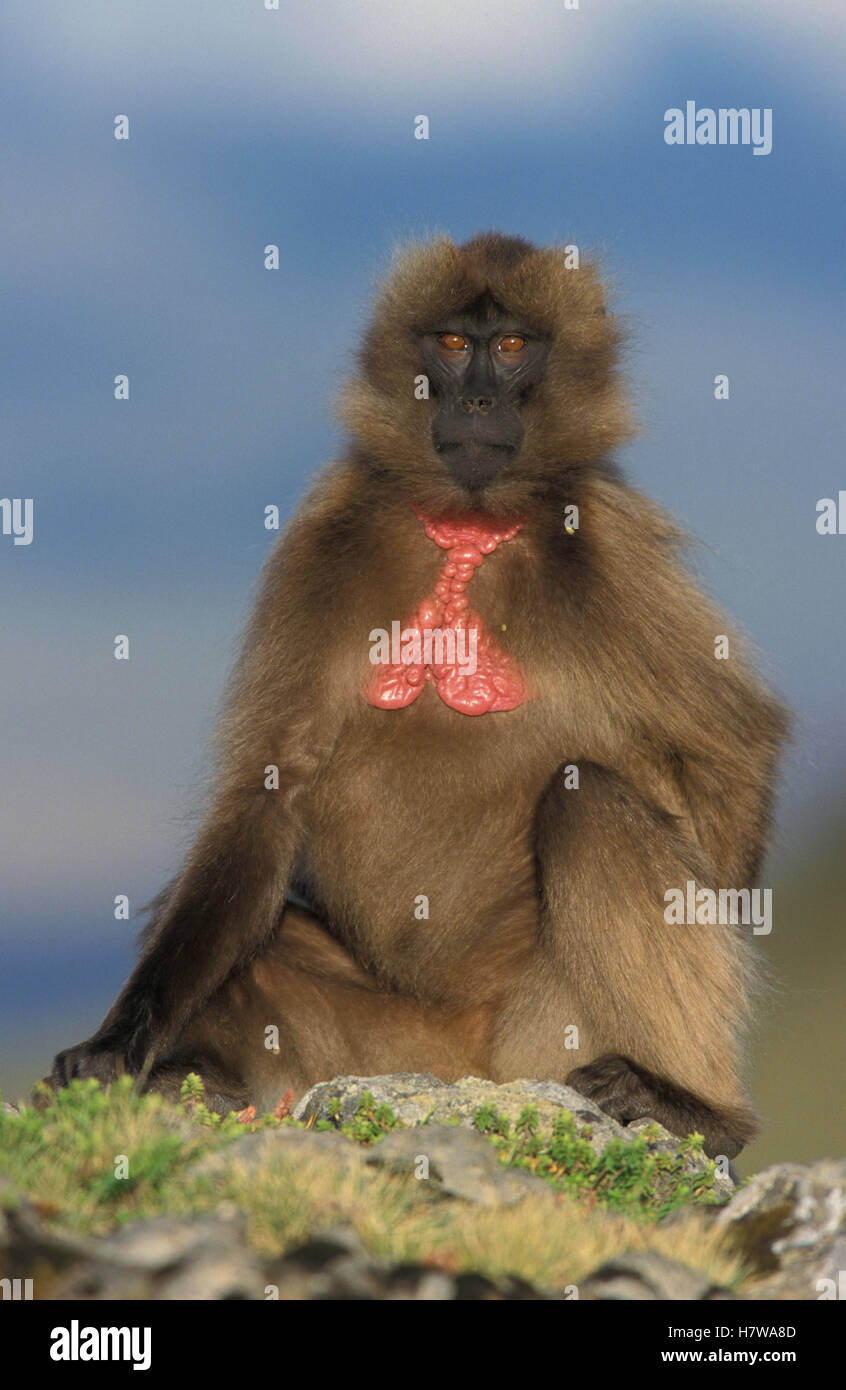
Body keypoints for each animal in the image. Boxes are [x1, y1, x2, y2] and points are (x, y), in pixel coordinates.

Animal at [46, 231, 788, 1158]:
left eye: (513, 345)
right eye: (452, 343)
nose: (474, 399)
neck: (465, 527)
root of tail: (466, 1070)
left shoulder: (609, 543)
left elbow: (736, 747)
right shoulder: (324, 535)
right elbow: (270, 786)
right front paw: (119, 1046)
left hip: (544, 1035)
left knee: (590, 802)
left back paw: (697, 1106)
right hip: (389, 1045)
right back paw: (199, 1079)